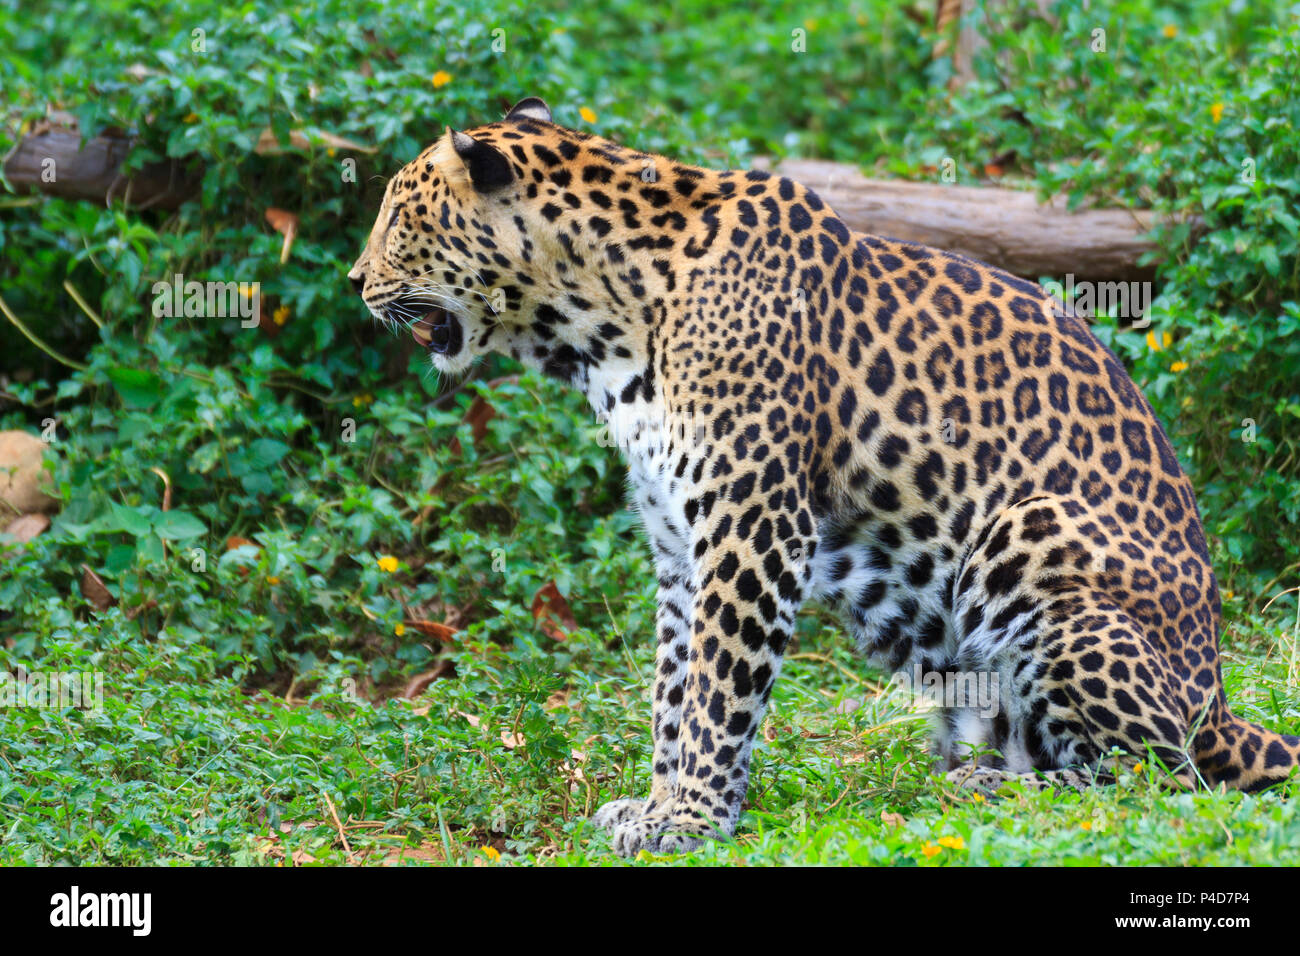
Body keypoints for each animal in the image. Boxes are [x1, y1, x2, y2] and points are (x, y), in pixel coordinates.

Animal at [348, 96, 1300, 855]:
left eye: (397, 218)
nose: (356, 281)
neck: (600, 327)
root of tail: (1219, 696)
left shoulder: (751, 525)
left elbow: (718, 686)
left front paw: (691, 821)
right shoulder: (677, 543)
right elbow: (671, 686)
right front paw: (654, 806)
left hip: (1032, 532)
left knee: (1157, 776)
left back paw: (996, 788)